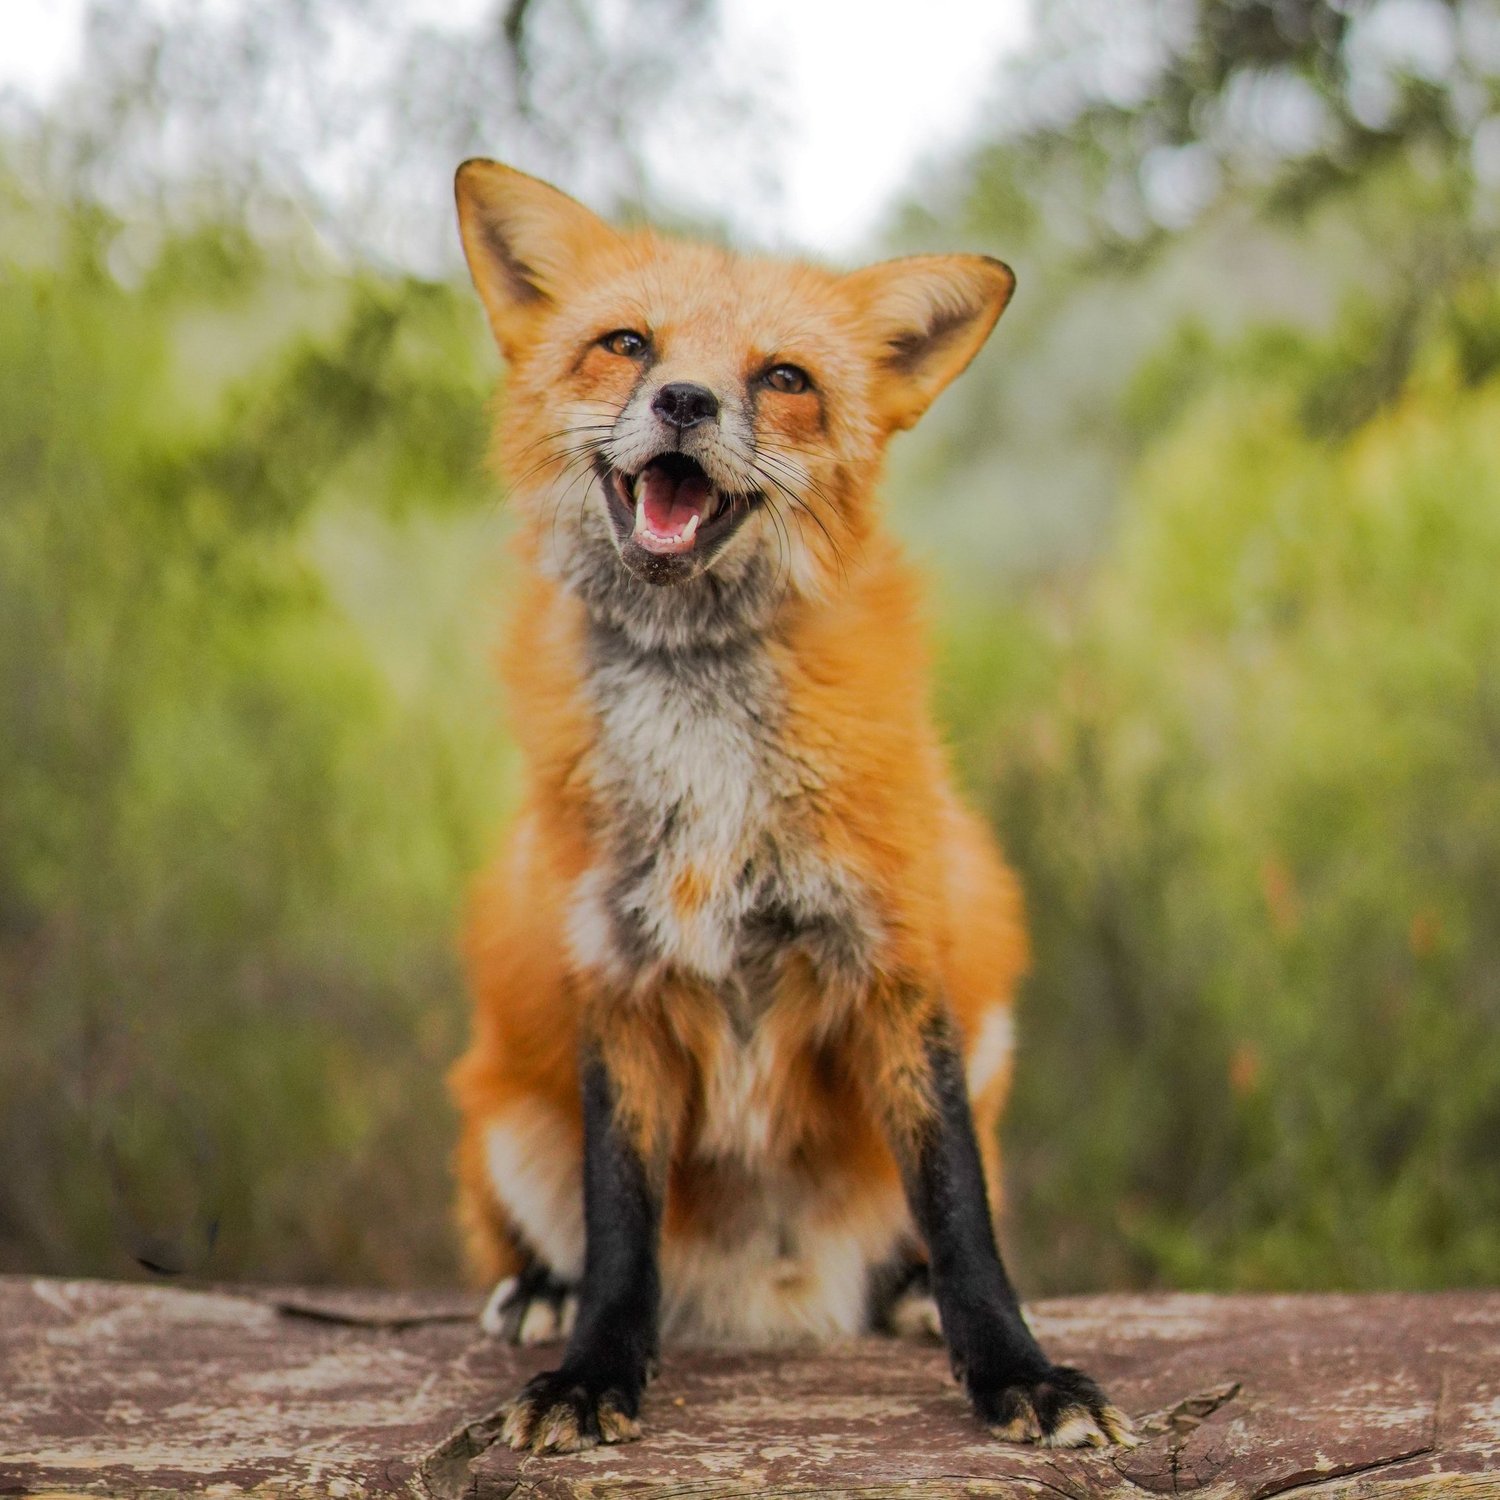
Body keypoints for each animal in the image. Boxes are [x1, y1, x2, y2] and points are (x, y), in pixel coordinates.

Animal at [446, 159, 1134, 1456]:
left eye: (784, 378)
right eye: (626, 343)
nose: (684, 402)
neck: (703, 718)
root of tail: (774, 1294)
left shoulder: (900, 960)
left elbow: (962, 1208)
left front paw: (1017, 1370)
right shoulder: (613, 975)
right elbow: (620, 1223)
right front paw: (592, 1370)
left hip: (991, 1026)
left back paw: (903, 1292)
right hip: (503, 1110)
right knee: (542, 1230)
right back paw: (539, 1292)